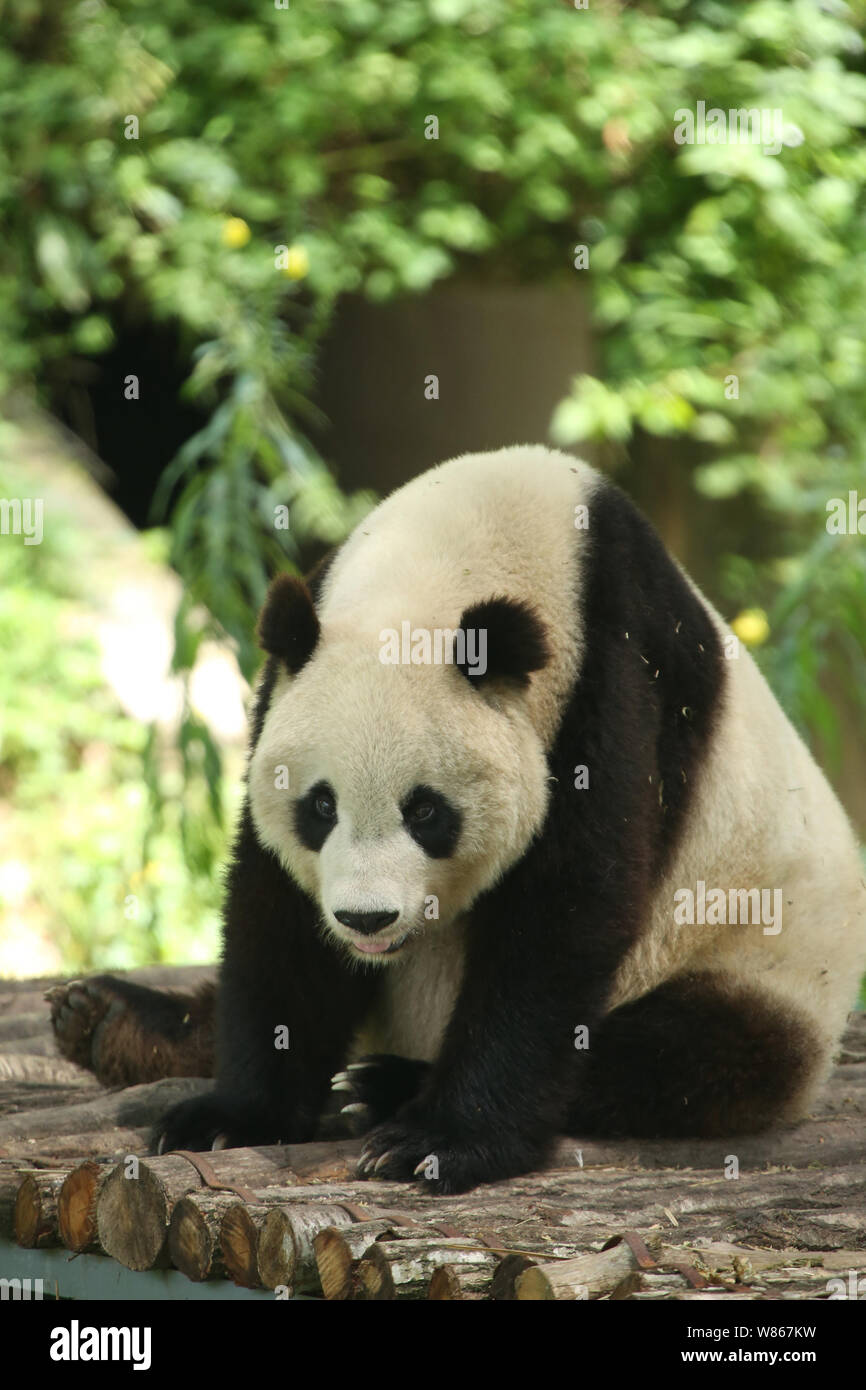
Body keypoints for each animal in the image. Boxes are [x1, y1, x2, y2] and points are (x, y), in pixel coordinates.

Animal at [50, 445, 866, 1194]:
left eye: (426, 811)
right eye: (320, 806)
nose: (366, 920)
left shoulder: (612, 677)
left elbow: (564, 915)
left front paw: (441, 1142)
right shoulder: (285, 681)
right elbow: (274, 912)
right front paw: (235, 1115)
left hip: (760, 960)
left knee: (689, 1055)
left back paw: (382, 1087)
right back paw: (115, 1020)